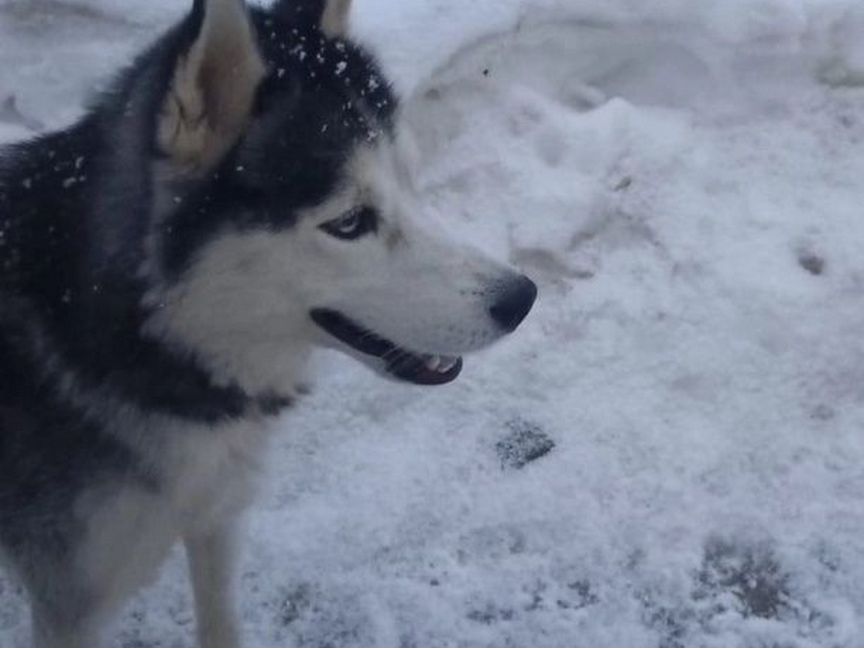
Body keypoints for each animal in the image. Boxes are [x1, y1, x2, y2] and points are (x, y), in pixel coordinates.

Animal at [0, 0, 536, 644]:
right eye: (350, 222)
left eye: (410, 184)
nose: (522, 298)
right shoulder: (73, 606)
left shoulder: (219, 515)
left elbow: (222, 621)